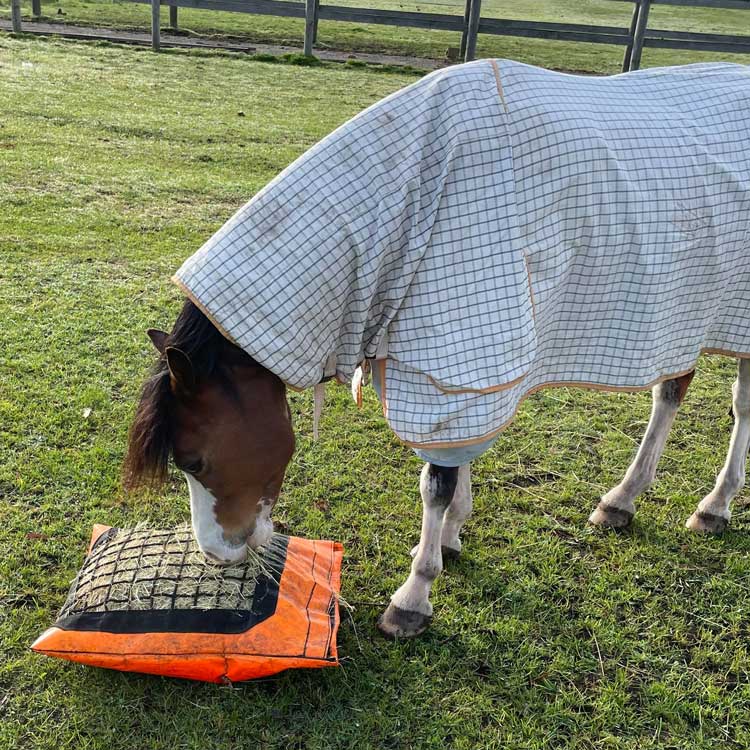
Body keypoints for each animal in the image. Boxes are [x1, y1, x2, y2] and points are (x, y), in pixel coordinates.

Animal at [124, 59, 750, 638]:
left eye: (193, 460)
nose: (216, 554)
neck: (410, 189)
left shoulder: (461, 361)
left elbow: (437, 483)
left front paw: (413, 596)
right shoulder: (456, 367)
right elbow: (459, 461)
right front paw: (449, 538)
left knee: (739, 405)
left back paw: (713, 506)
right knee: (672, 392)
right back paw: (623, 499)